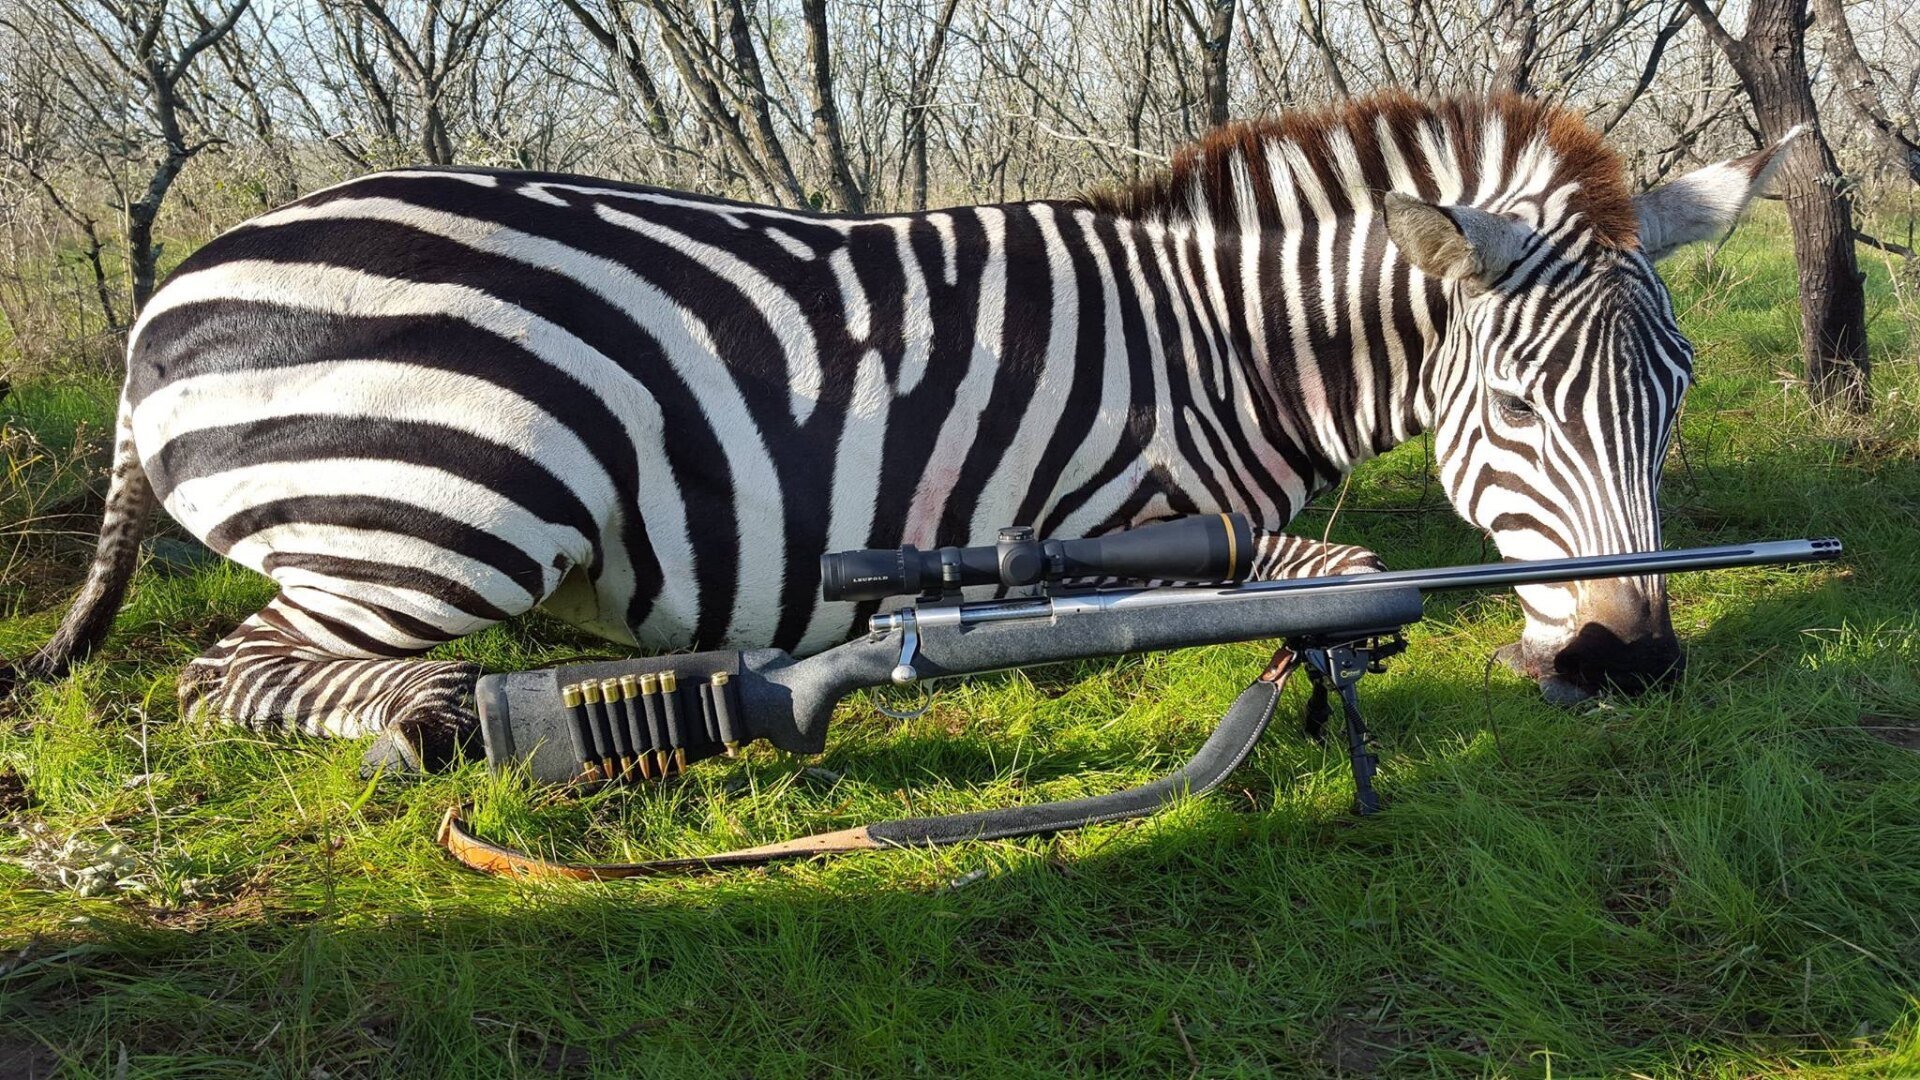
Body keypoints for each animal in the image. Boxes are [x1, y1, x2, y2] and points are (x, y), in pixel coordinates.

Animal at [10, 92, 1785, 771]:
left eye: (1678, 394)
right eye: (1516, 406)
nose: (1632, 664)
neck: (1220, 344)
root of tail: (169, 295)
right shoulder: (1130, 519)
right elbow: (1321, 570)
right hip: (438, 516)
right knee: (240, 678)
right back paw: (452, 719)